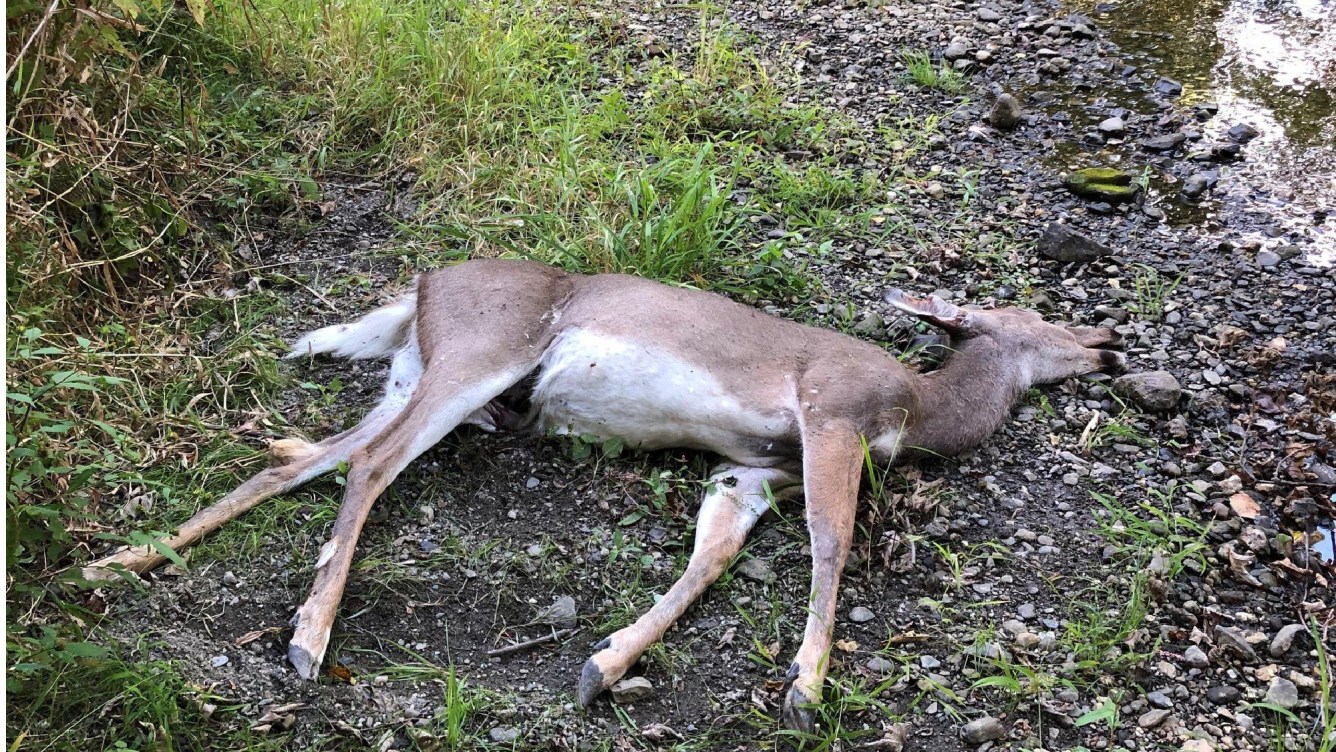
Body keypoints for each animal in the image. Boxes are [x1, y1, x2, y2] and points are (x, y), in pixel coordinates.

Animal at [83, 258, 1125, 732]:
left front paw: (603, 663)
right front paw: (805, 686)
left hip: (417, 376)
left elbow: (712, 551)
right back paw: (305, 640)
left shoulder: (757, 465)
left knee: (305, 456)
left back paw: (117, 561)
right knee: (370, 466)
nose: (1110, 344)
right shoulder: (832, 412)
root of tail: (421, 287)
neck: (921, 404)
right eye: (1036, 315)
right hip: (480, 354)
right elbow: (832, 544)